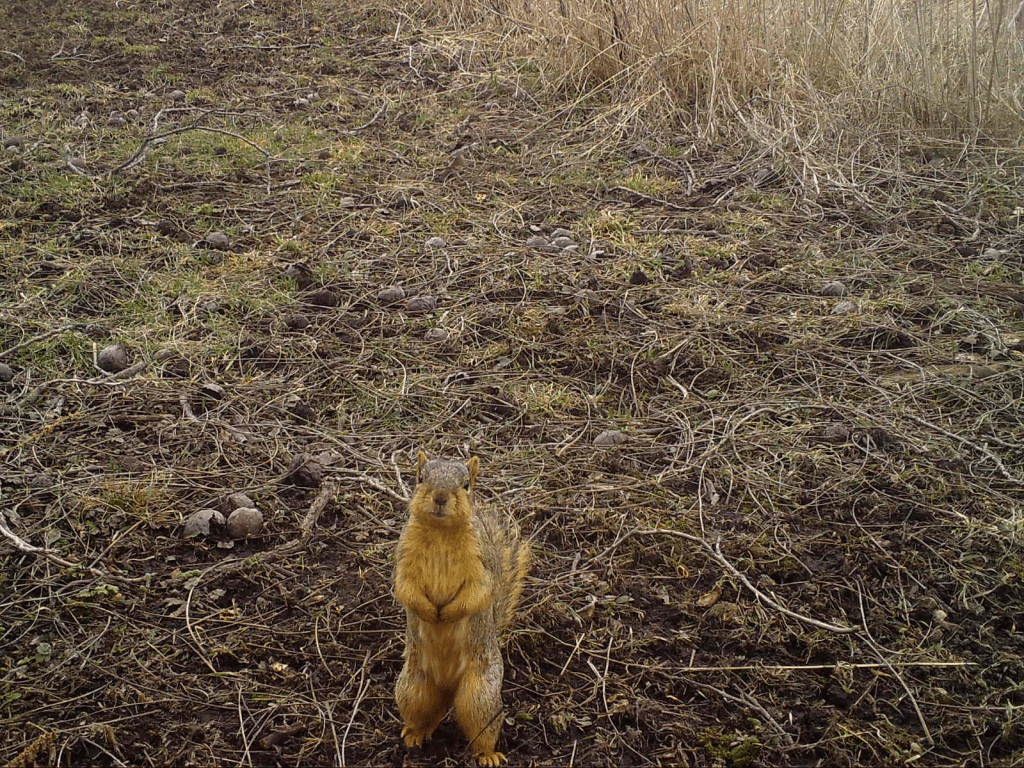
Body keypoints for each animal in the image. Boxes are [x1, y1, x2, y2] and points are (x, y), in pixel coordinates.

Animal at [394, 452, 530, 767]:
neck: (441, 532)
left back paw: (488, 754)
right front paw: (430, 613)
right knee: (425, 715)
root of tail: (447, 687)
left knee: (482, 727)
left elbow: (478, 593)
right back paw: (414, 735)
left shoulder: (482, 564)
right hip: (412, 688)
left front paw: (447, 615)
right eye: (420, 478)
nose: (441, 497)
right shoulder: (404, 558)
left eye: (466, 484)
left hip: (480, 694)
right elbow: (405, 588)